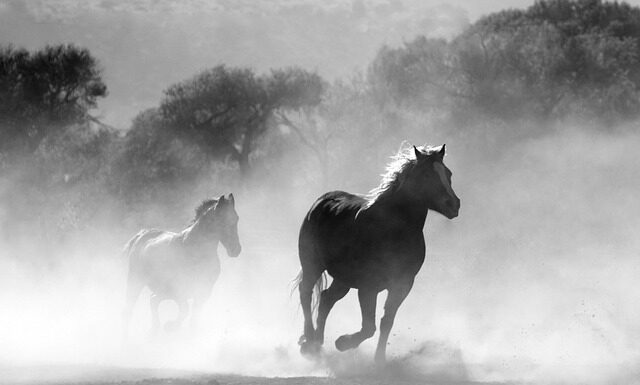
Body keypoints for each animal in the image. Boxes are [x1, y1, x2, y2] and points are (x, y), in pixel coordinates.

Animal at [120, 194, 240, 338]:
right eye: (222, 220)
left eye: (236, 218)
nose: (236, 250)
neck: (196, 250)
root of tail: (141, 235)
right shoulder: (179, 290)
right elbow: (185, 311)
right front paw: (170, 326)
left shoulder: (203, 292)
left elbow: (193, 319)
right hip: (136, 281)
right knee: (129, 309)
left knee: (153, 300)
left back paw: (154, 330)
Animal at [298, 143, 458, 364]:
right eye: (426, 174)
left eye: (448, 173)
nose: (454, 204)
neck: (393, 230)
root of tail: (321, 202)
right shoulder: (368, 287)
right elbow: (368, 327)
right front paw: (343, 342)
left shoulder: (402, 285)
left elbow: (386, 322)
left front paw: (379, 360)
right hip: (312, 265)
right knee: (306, 293)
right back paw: (309, 342)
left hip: (343, 278)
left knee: (326, 299)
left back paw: (317, 342)